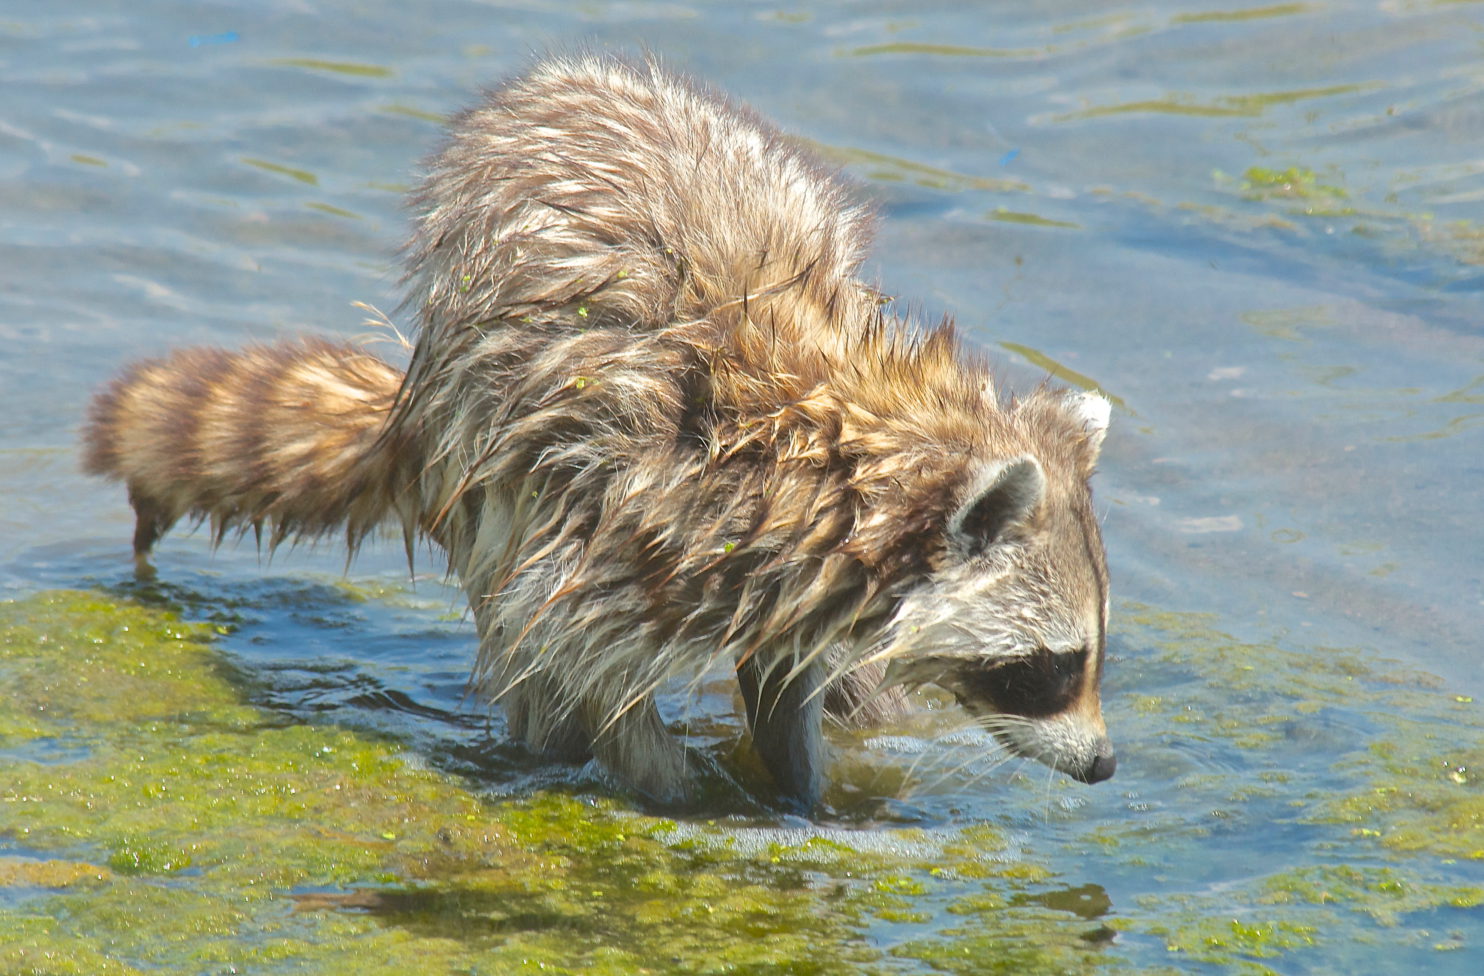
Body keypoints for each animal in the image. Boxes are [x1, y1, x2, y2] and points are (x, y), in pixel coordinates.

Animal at [84, 55, 1115, 812]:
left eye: (1094, 654)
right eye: (1052, 668)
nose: (1107, 765)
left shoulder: (796, 568)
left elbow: (789, 676)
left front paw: (802, 787)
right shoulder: (636, 500)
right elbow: (578, 653)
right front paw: (681, 790)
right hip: (480, 442)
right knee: (517, 619)